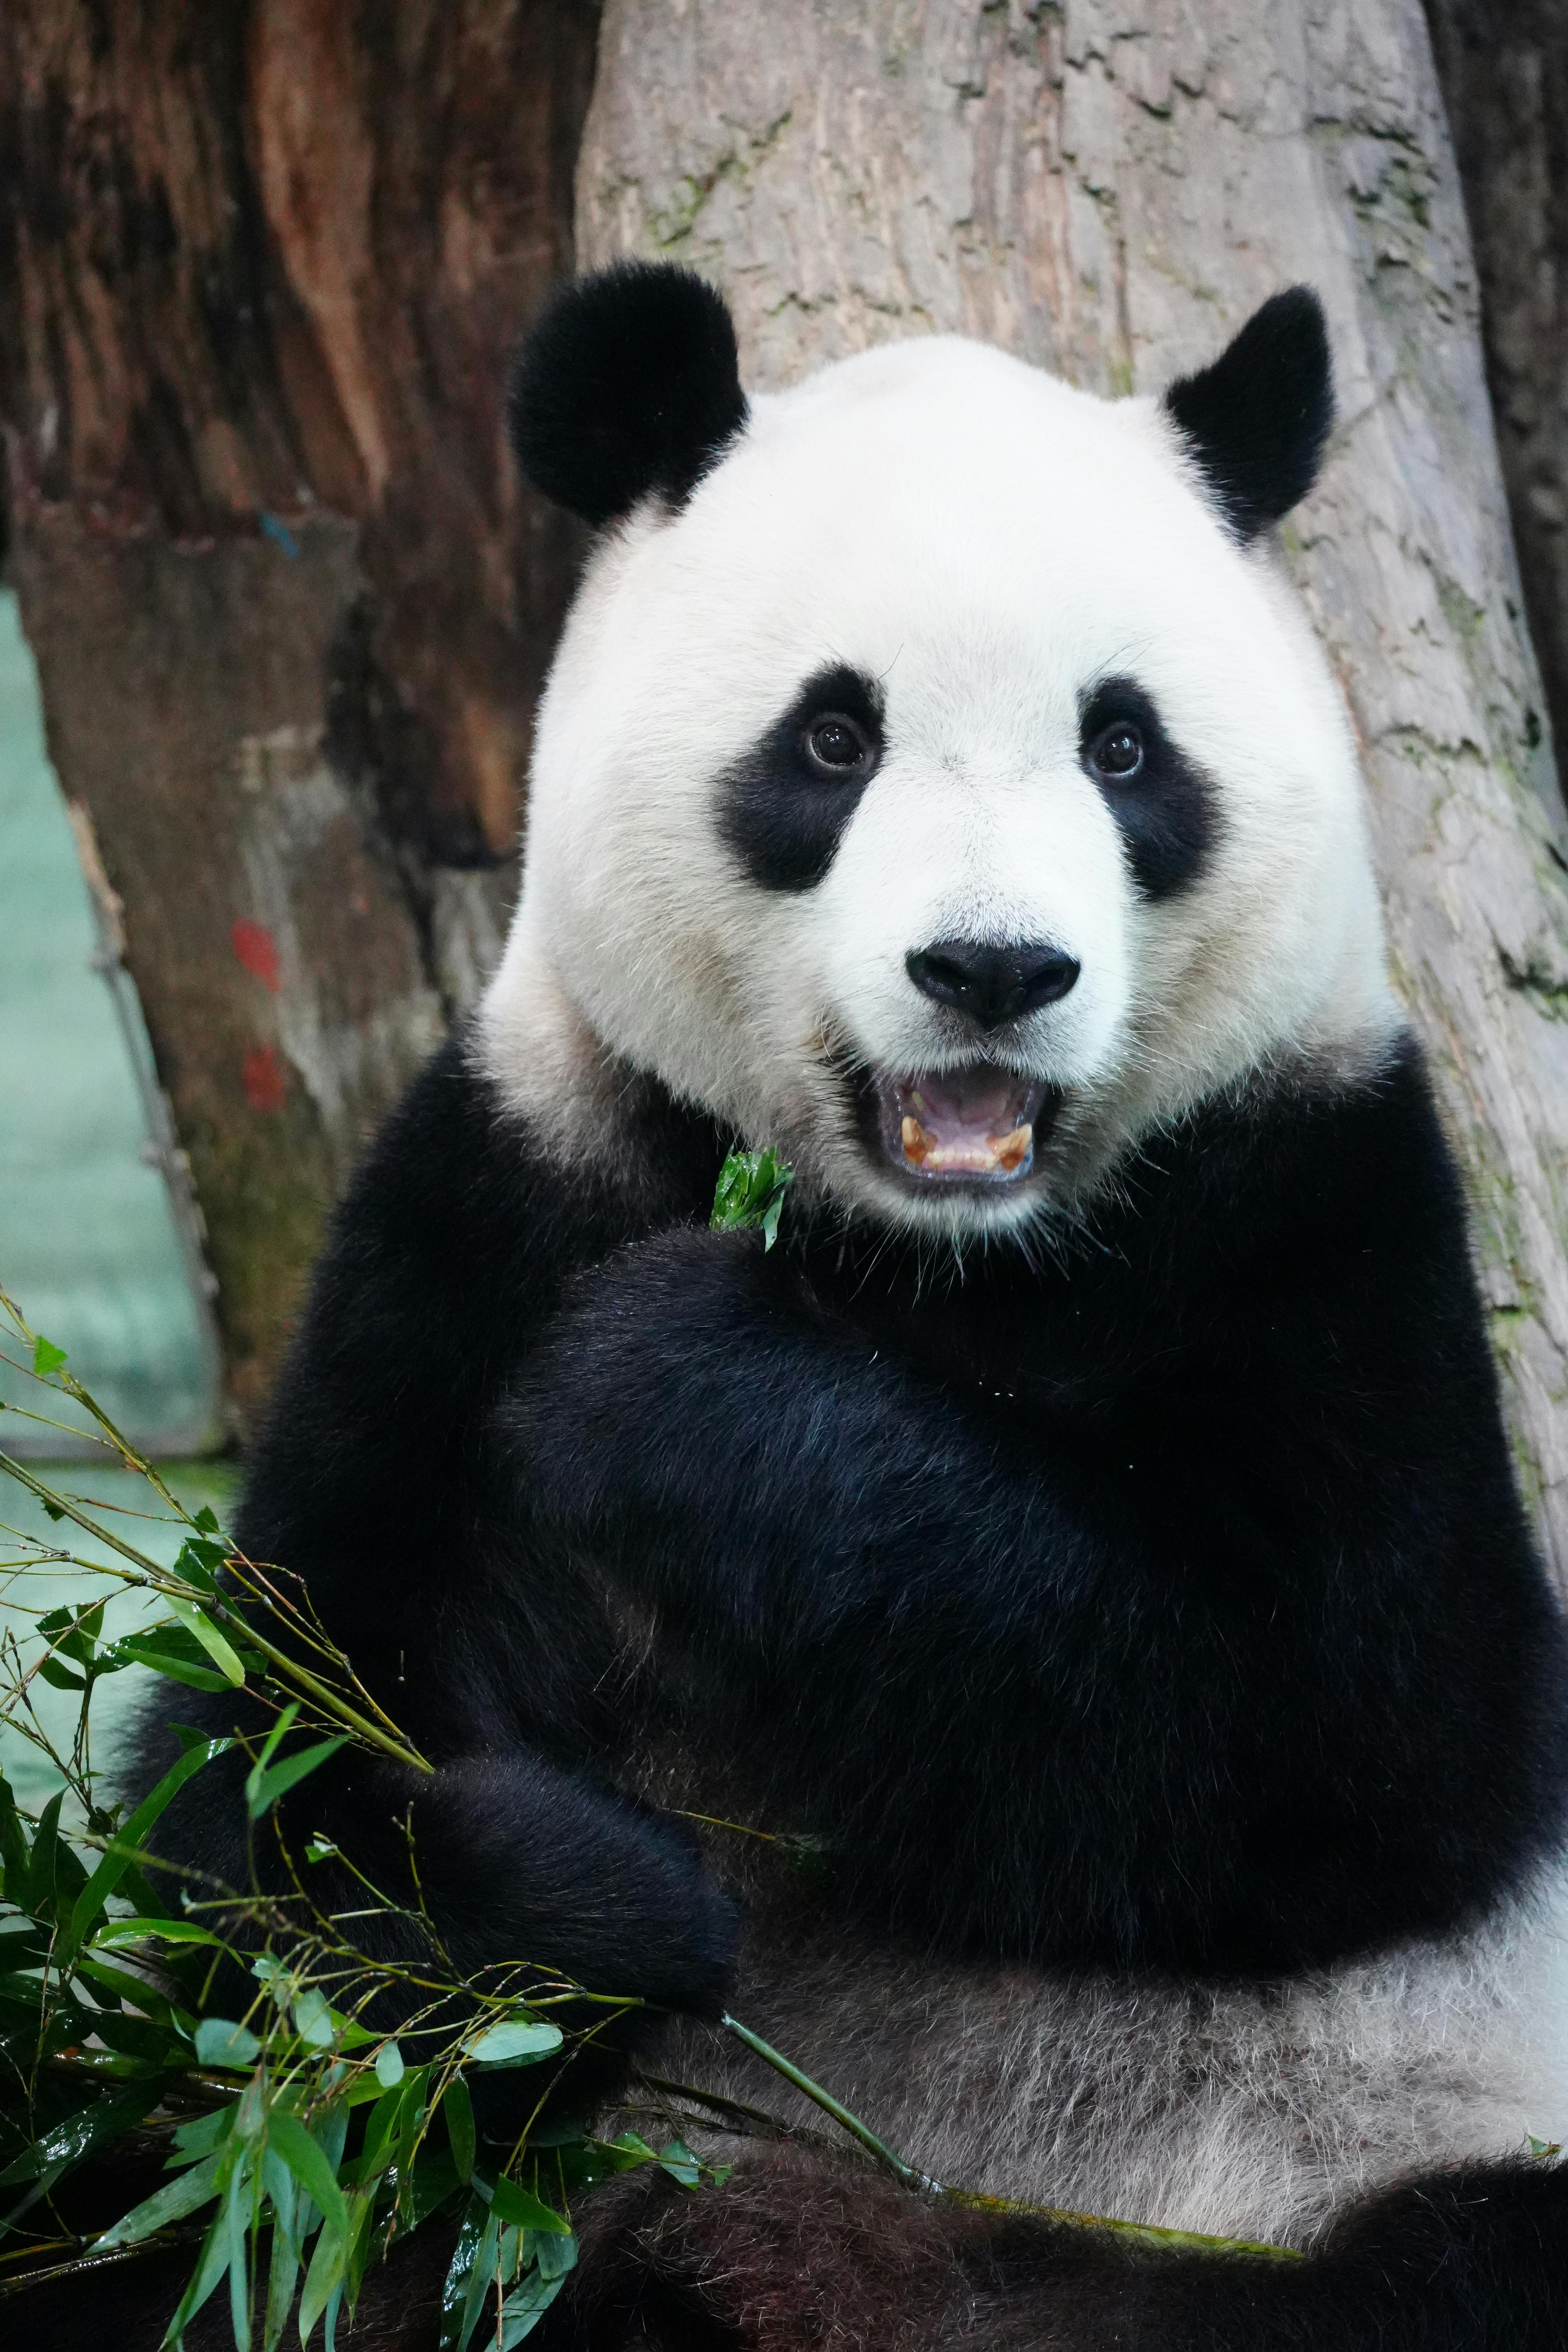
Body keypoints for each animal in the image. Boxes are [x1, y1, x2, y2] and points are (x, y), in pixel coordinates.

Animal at [133, 262, 1568, 2349]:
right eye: (829, 741)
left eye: (1123, 750)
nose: (993, 970)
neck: (924, 1251)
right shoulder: (496, 1200)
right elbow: (256, 1799)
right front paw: (595, 1899)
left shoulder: (1309, 1198)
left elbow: (1354, 1736)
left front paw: (674, 1386)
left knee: (1451, 2262)